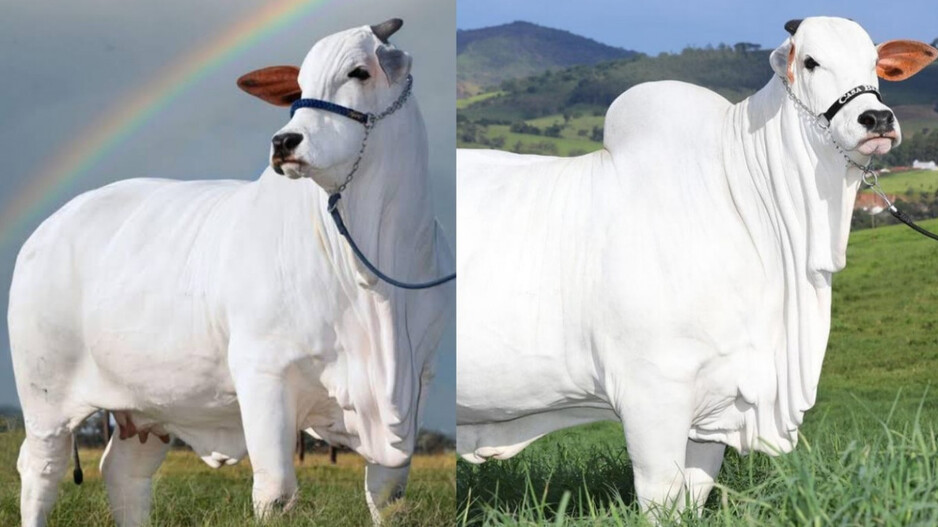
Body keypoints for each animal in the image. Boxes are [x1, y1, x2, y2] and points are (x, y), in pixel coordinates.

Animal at [9, 19, 454, 526]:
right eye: (299, 86)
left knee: (124, 474)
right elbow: (276, 492)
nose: (284, 142)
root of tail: (51, 223)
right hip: (44, 394)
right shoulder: (263, 372)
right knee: (42, 468)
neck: (374, 278)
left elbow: (386, 494)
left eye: (359, 72)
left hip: (147, 406)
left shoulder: (417, 382)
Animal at [456, 17, 936, 515]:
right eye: (810, 61)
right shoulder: (652, 391)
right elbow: (659, 494)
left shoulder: (715, 407)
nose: (877, 119)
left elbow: (692, 495)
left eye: (874, 63)